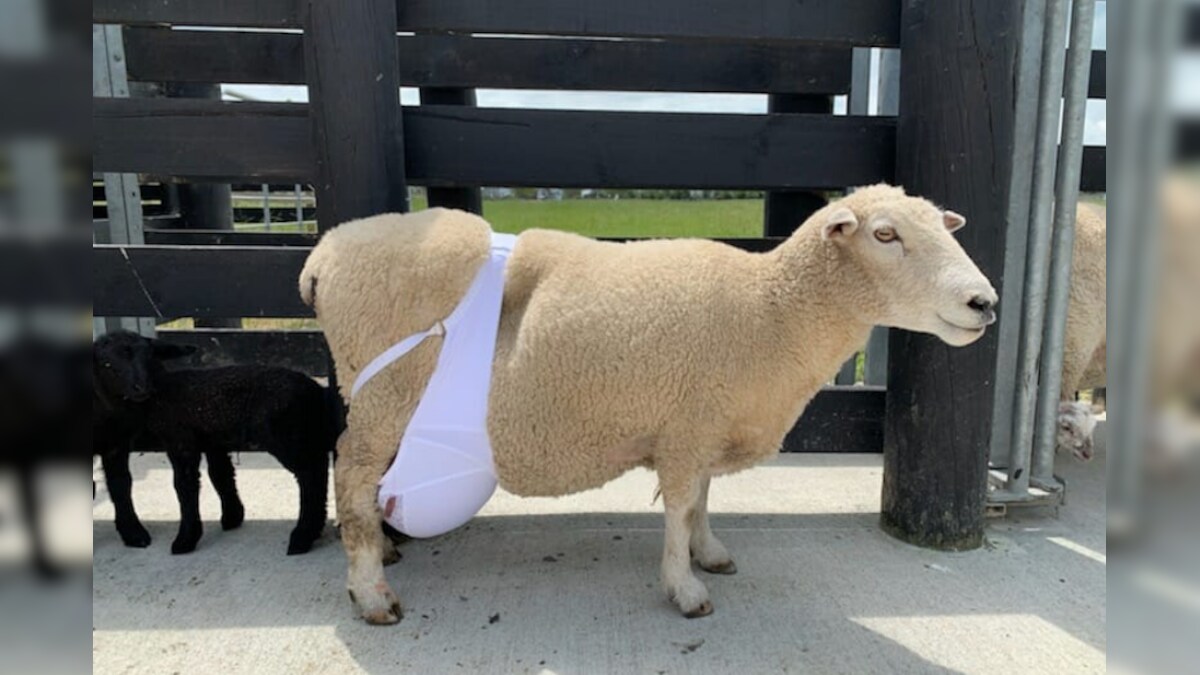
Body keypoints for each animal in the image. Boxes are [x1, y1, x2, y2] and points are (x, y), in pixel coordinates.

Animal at [93, 331, 333, 555]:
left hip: (284, 434)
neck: (162, 391)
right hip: (302, 433)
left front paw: (186, 539)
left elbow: (184, 485)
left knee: (309, 473)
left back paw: (302, 536)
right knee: (318, 467)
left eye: (149, 356)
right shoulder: (212, 440)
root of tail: (315, 390)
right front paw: (232, 516)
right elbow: (221, 475)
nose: (142, 388)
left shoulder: (180, 439)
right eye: (107, 364)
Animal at [300, 184, 999, 624]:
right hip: (384, 391)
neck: (770, 310)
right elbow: (681, 509)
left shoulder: (705, 422)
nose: (985, 303)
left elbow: (705, 502)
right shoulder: (687, 428)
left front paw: (709, 553)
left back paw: (382, 552)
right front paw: (685, 588)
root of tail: (324, 251)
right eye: (884, 234)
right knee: (352, 475)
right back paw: (371, 592)